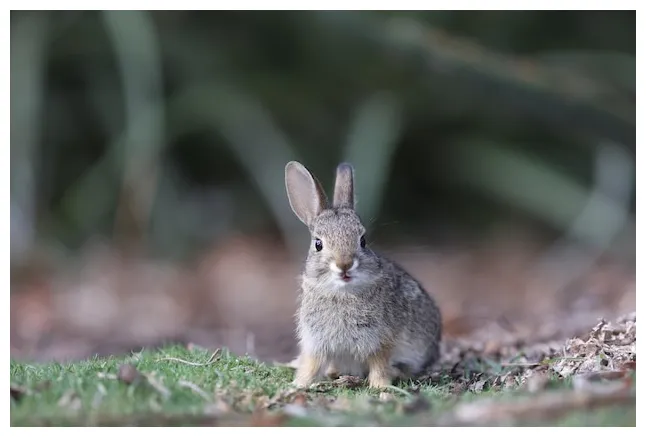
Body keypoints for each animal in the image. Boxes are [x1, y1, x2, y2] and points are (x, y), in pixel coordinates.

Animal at [284, 160, 442, 389]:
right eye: (318, 244)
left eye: (363, 240)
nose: (344, 265)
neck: (341, 293)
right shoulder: (316, 342)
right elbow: (311, 365)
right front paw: (299, 384)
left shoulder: (381, 342)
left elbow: (379, 365)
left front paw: (381, 386)